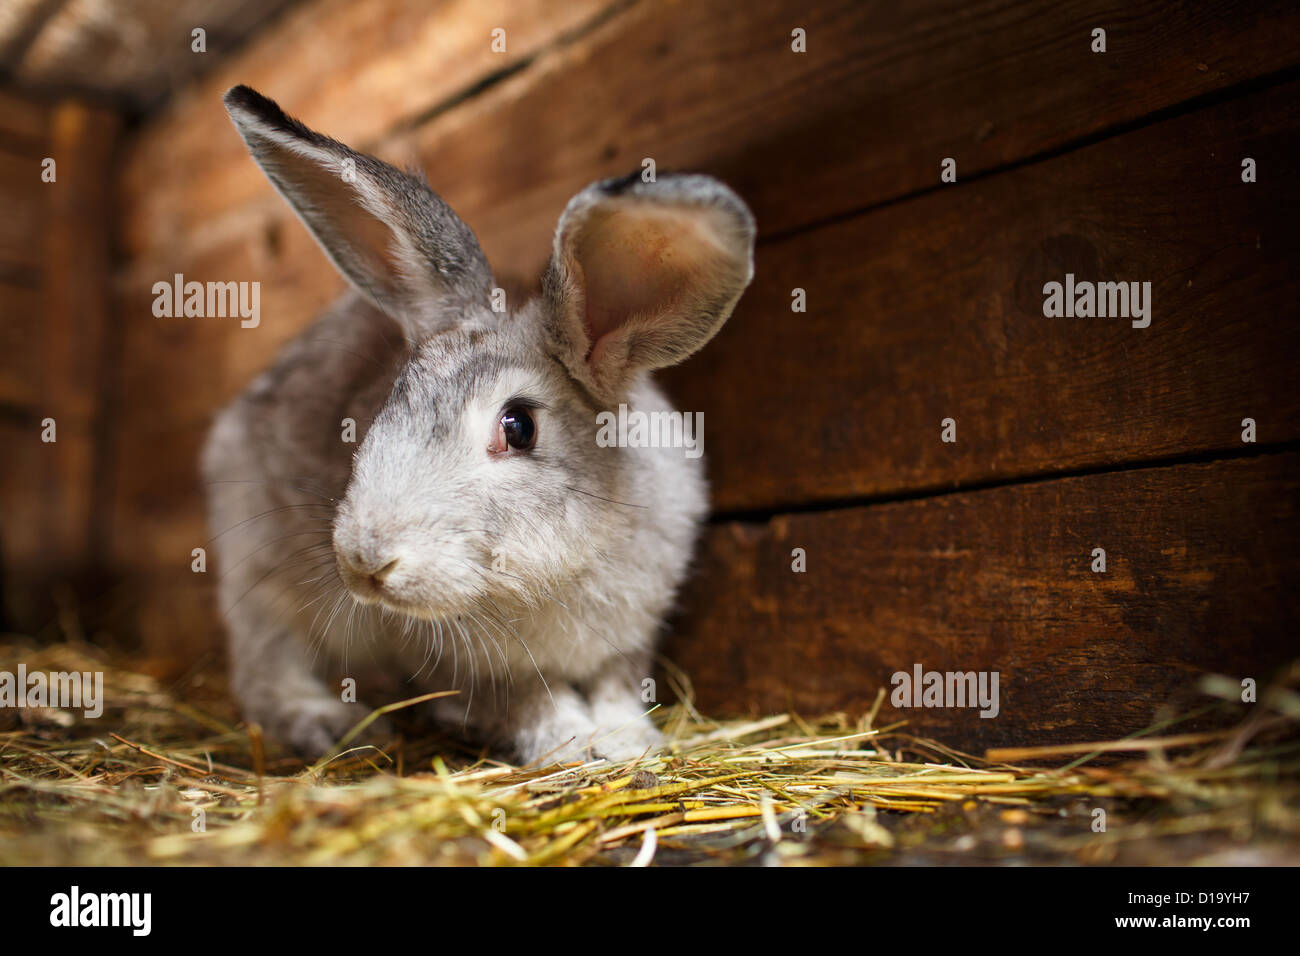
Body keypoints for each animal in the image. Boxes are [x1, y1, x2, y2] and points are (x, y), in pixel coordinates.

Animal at [202, 85, 755, 764]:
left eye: (518, 427)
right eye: (392, 400)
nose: (365, 560)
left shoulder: (631, 637)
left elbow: (617, 685)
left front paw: (629, 741)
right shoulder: (477, 670)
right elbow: (529, 700)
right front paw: (568, 744)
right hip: (260, 576)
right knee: (267, 666)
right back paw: (324, 721)